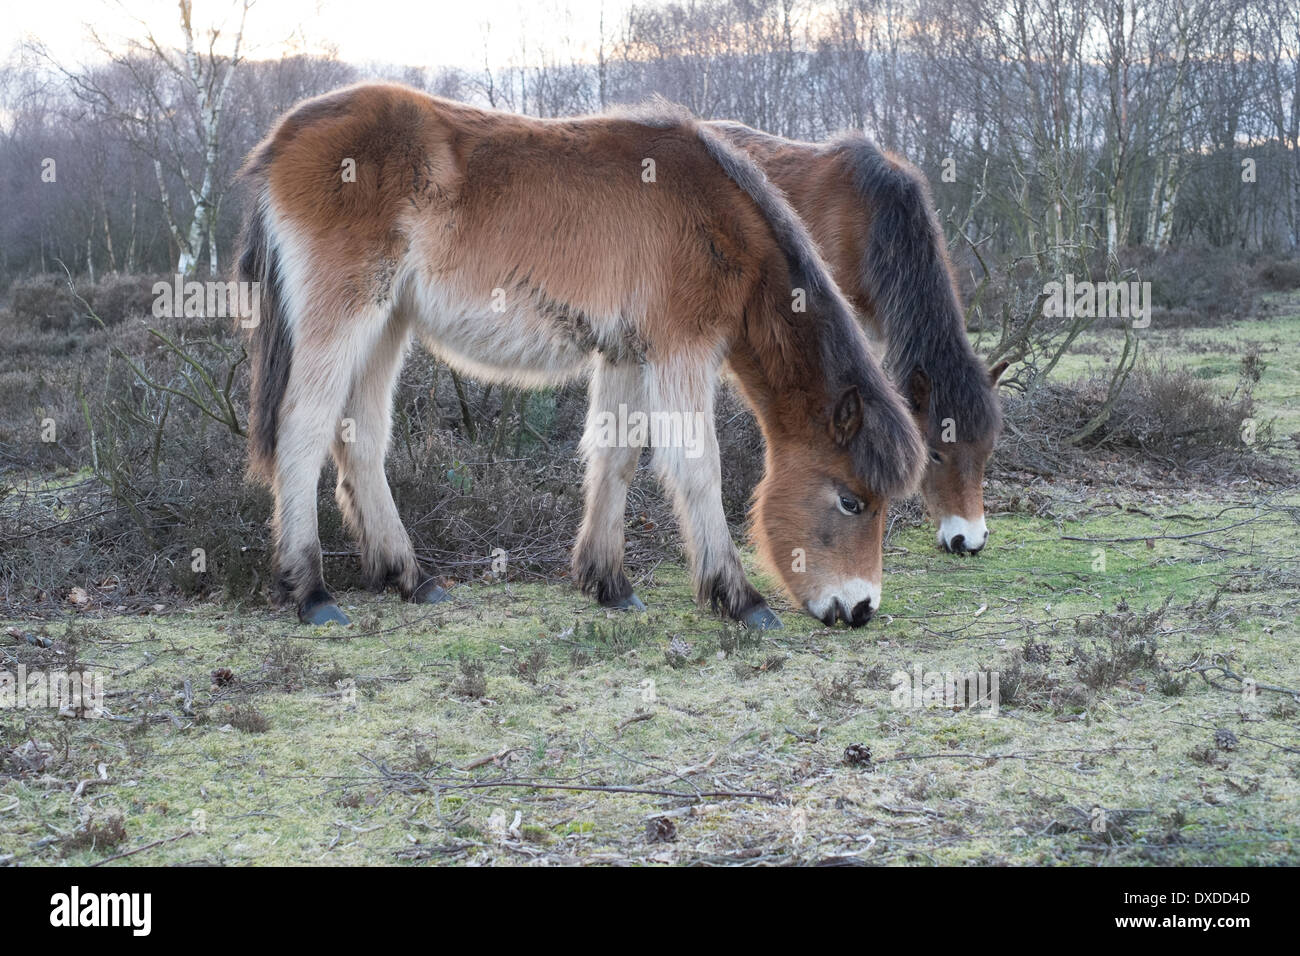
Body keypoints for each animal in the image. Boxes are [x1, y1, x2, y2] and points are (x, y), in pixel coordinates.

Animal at [235, 84, 923, 630]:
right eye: (852, 501)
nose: (861, 609)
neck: (713, 214)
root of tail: (281, 140)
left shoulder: (627, 353)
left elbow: (615, 456)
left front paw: (608, 583)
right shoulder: (680, 350)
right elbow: (697, 467)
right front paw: (739, 598)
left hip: (387, 325)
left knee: (360, 439)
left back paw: (409, 578)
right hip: (345, 315)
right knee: (303, 431)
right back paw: (311, 590)